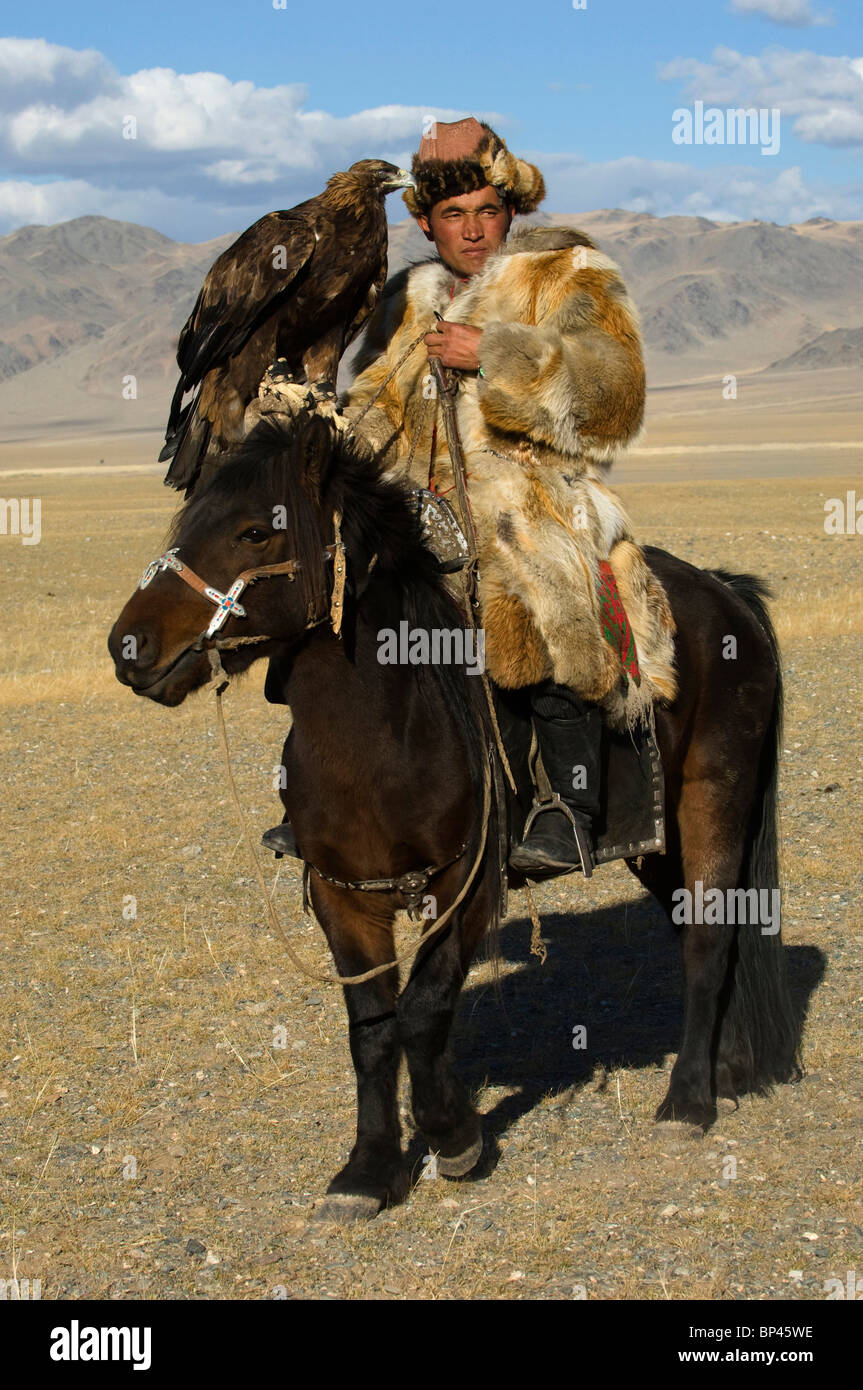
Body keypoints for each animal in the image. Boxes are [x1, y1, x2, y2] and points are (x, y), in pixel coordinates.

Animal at [108, 412, 800, 1221]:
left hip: (712, 797)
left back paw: (687, 1102)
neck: (382, 734)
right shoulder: (342, 896)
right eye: (188, 522)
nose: (129, 645)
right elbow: (372, 1029)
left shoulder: (465, 886)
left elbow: (423, 1008)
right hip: (656, 845)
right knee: (706, 927)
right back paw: (731, 1071)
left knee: (708, 940)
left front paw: (453, 1135)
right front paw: (367, 1171)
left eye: (253, 532)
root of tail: (727, 594)